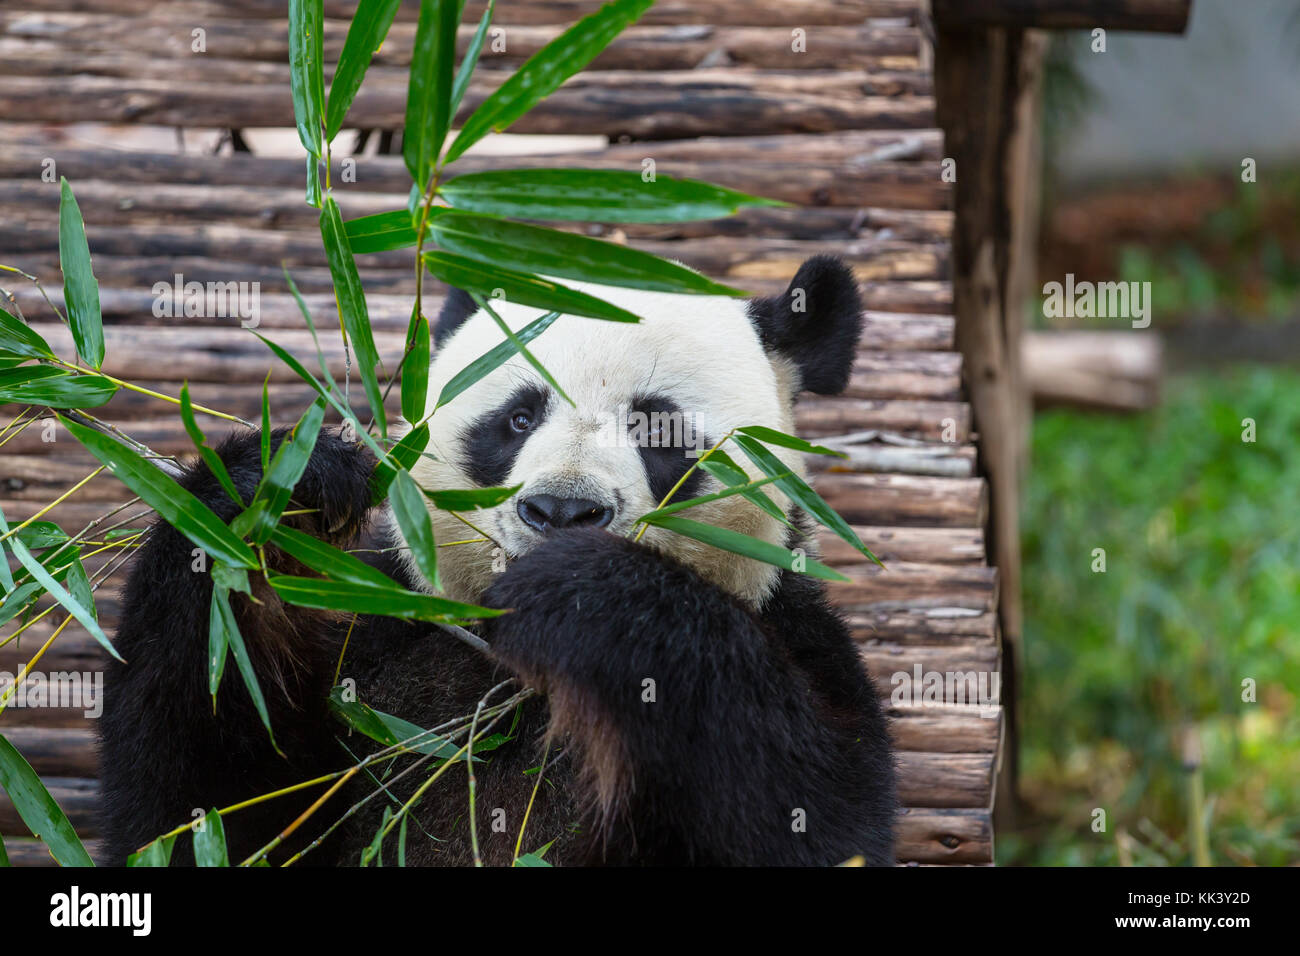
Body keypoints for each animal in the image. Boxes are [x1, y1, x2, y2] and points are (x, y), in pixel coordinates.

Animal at [97, 255, 897, 866]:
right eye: (516, 418)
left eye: (657, 429)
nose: (561, 512)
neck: (517, 667)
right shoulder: (383, 634)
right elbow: (208, 807)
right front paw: (274, 491)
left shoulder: (788, 626)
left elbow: (813, 813)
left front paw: (583, 588)